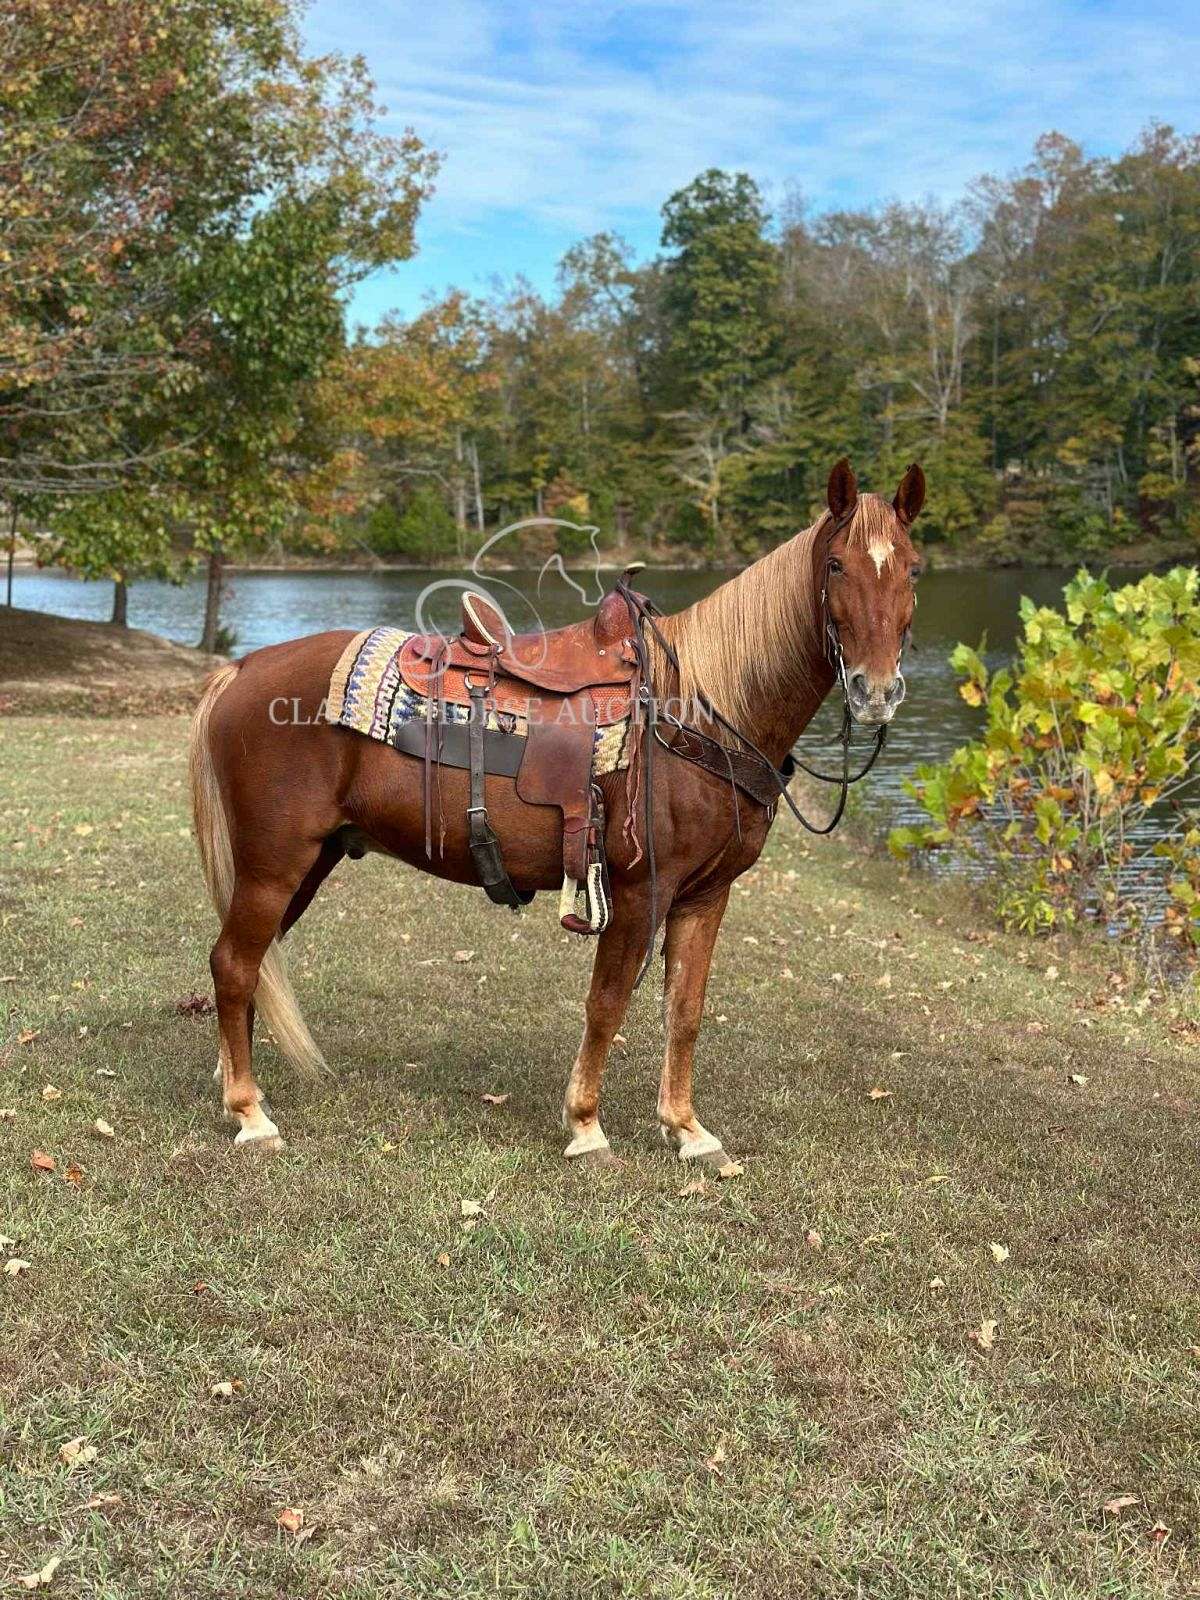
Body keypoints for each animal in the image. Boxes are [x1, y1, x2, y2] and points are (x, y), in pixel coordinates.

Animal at [188, 458, 925, 1166]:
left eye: (914, 568)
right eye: (836, 566)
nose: (877, 691)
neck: (701, 712)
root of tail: (243, 669)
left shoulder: (705, 896)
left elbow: (685, 1009)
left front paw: (686, 1128)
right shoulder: (639, 891)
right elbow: (607, 1004)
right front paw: (586, 1125)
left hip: (308, 862)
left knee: (251, 966)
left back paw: (237, 1089)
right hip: (274, 864)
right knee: (234, 964)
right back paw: (250, 1114)